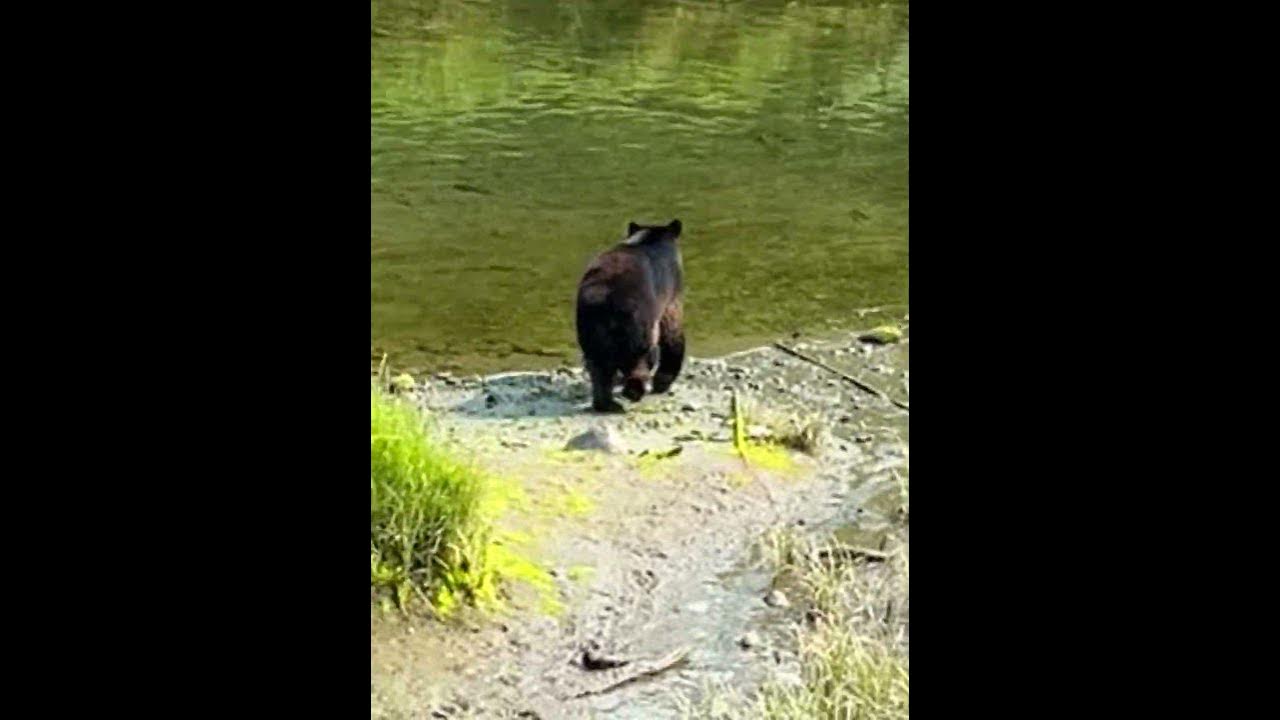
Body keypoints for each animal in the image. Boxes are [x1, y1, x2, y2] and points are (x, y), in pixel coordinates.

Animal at [575, 219, 686, 413]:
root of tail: (604, 297)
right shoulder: (670, 296)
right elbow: (672, 333)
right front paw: (663, 381)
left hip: (590, 329)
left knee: (598, 367)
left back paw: (606, 403)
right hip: (638, 322)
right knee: (641, 357)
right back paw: (633, 392)